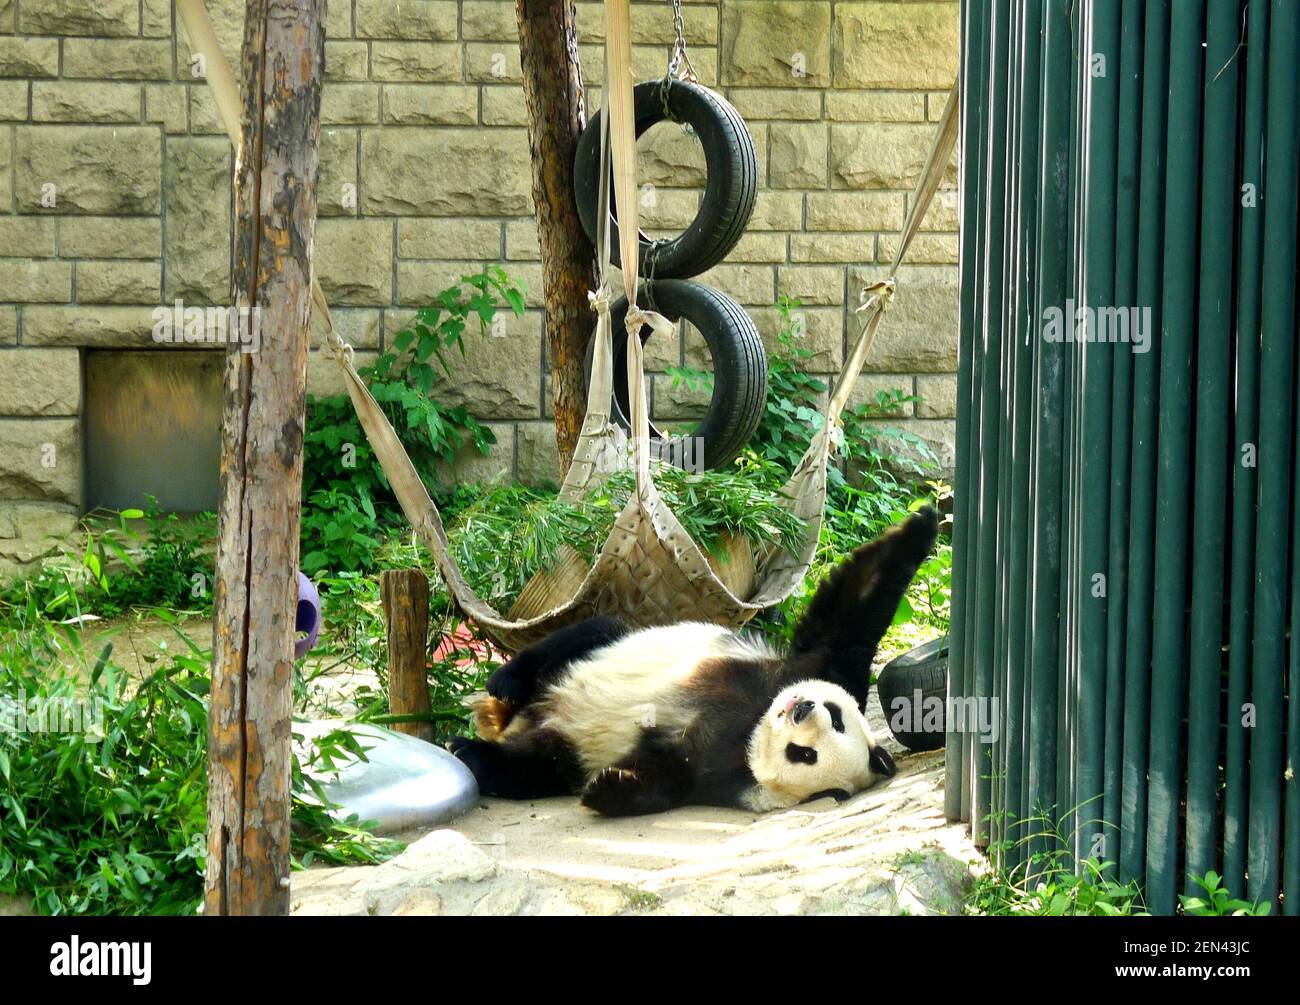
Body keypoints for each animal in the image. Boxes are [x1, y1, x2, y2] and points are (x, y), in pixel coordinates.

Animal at [448, 506, 939, 817]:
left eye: (805, 754)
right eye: (836, 716)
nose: (800, 708)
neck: (752, 729)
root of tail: (519, 719)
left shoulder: (720, 777)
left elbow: (669, 782)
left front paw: (608, 789)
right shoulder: (804, 668)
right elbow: (848, 616)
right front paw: (923, 524)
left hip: (560, 749)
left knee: (535, 767)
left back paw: (470, 750)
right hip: (608, 643)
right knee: (588, 634)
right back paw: (507, 683)